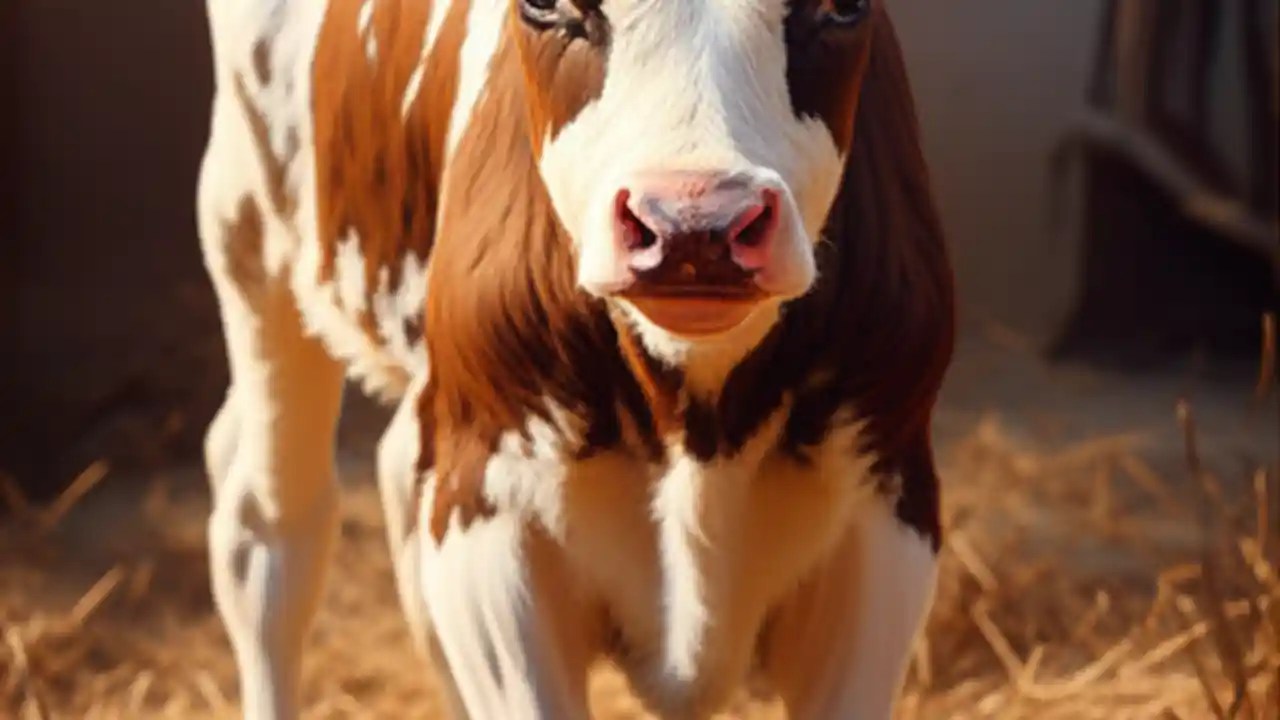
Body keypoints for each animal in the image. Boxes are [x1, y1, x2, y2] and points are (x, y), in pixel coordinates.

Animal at [197, 0, 954, 717]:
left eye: (845, 6)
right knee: (269, 524)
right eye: (544, 4)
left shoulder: (887, 502)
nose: (695, 227)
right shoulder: (489, 512)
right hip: (247, 223)